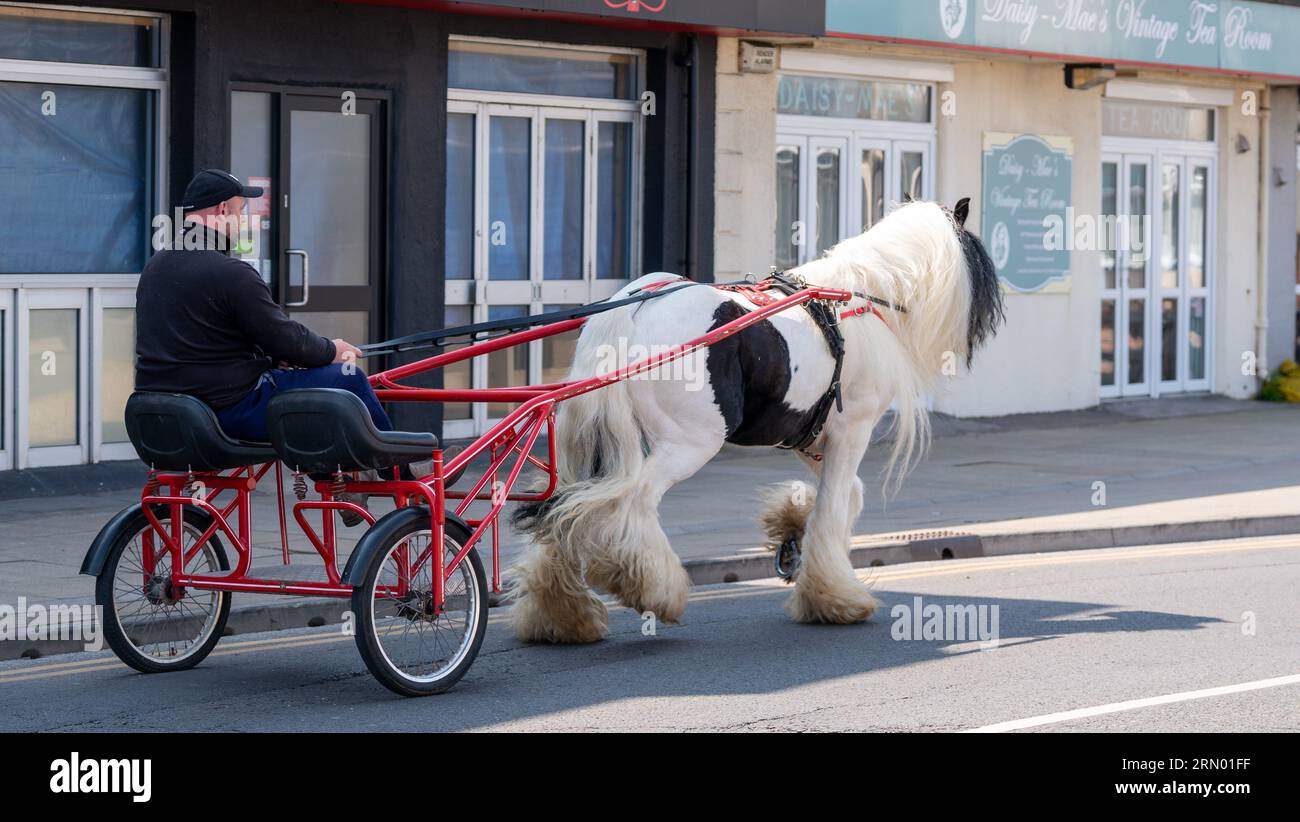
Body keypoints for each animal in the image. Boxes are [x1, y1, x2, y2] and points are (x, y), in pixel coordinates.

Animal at [508, 198, 1004, 642]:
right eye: (979, 261)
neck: (856, 298)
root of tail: (637, 305)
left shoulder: (812, 439)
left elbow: (848, 498)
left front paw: (794, 532)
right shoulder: (852, 431)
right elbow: (833, 508)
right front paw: (836, 596)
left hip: (593, 446)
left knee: (566, 510)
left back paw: (563, 615)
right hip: (690, 443)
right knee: (626, 503)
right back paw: (654, 588)